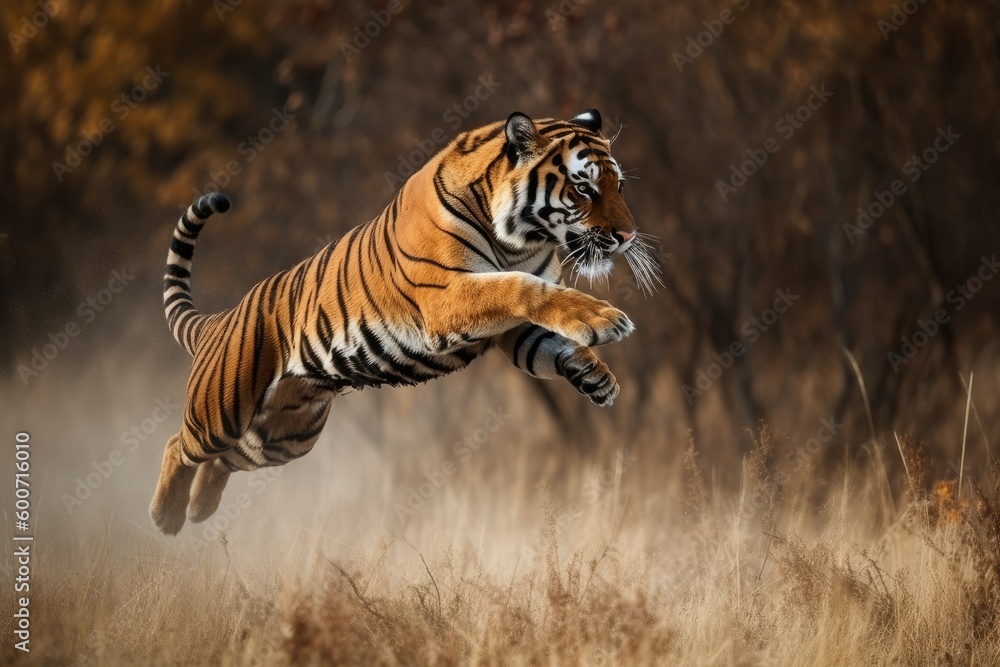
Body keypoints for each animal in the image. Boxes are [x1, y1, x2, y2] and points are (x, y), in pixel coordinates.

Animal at [150, 108, 661, 535]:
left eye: (619, 186)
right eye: (583, 188)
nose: (627, 236)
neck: (520, 240)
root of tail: (222, 318)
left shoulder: (514, 331)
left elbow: (551, 342)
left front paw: (596, 376)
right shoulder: (447, 297)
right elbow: (519, 287)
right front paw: (604, 318)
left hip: (284, 435)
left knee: (222, 462)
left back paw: (199, 511)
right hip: (222, 411)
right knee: (178, 443)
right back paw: (165, 517)